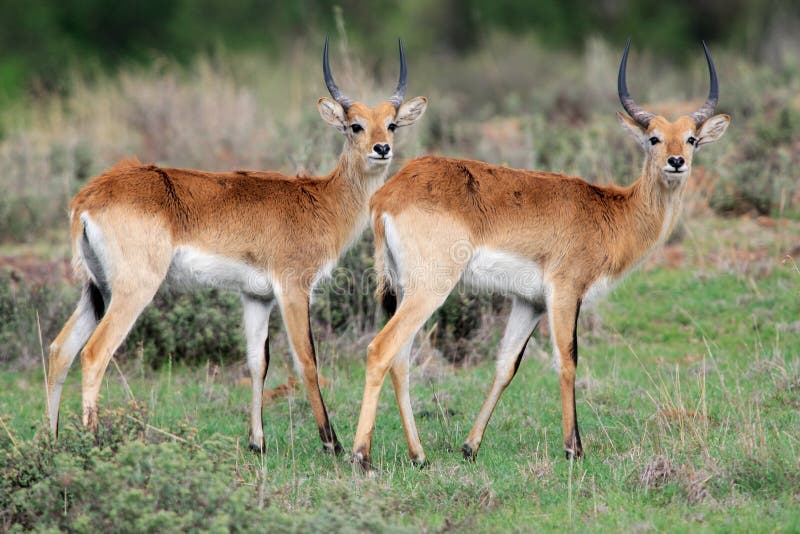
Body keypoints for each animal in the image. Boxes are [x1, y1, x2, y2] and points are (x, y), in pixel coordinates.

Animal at [45, 38, 428, 454]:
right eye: (355, 125)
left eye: (391, 124)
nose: (382, 148)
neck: (321, 200)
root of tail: (87, 198)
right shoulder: (293, 288)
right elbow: (306, 360)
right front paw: (333, 443)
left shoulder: (255, 296)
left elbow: (257, 361)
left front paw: (257, 442)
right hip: (133, 290)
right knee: (93, 353)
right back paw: (92, 442)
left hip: (95, 288)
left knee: (60, 350)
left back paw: (50, 443)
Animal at [352, 41, 730, 469]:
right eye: (653, 138)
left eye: (691, 139)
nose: (676, 162)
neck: (609, 211)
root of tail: (387, 194)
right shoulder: (564, 292)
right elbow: (567, 360)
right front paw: (573, 448)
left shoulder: (528, 302)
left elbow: (506, 366)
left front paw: (470, 446)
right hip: (430, 289)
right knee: (381, 349)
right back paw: (361, 455)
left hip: (405, 289)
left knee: (400, 358)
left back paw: (418, 455)